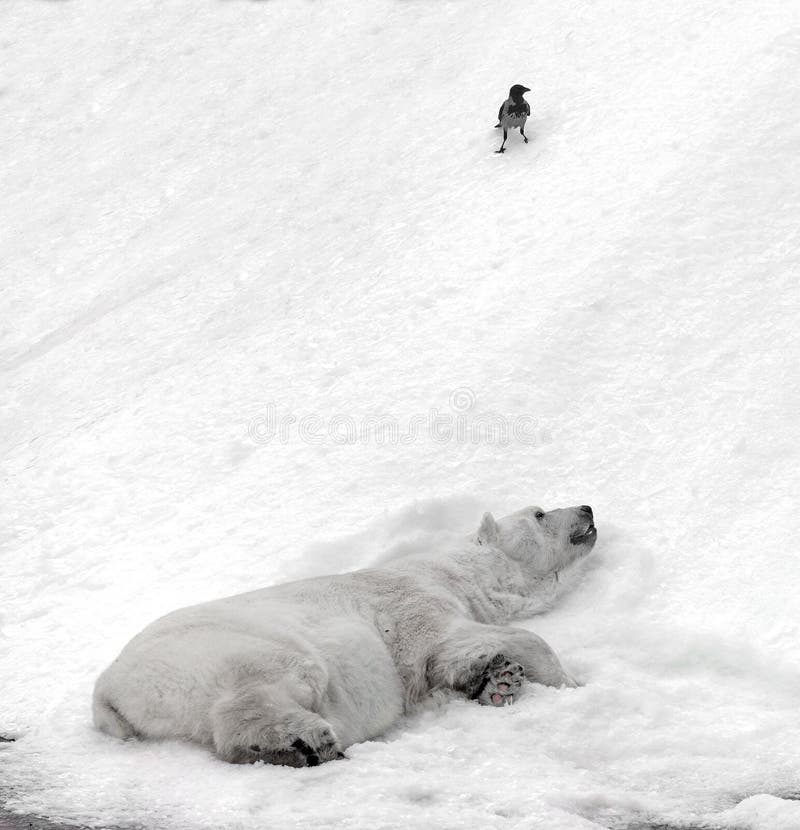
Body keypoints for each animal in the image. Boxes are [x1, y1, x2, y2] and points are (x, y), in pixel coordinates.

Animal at [93, 503, 597, 767]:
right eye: (540, 512)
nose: (587, 508)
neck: (457, 572)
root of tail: (106, 691)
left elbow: (453, 663)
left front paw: (499, 680)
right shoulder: (413, 602)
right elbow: (449, 641)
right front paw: (572, 682)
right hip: (216, 648)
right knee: (268, 685)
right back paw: (305, 740)